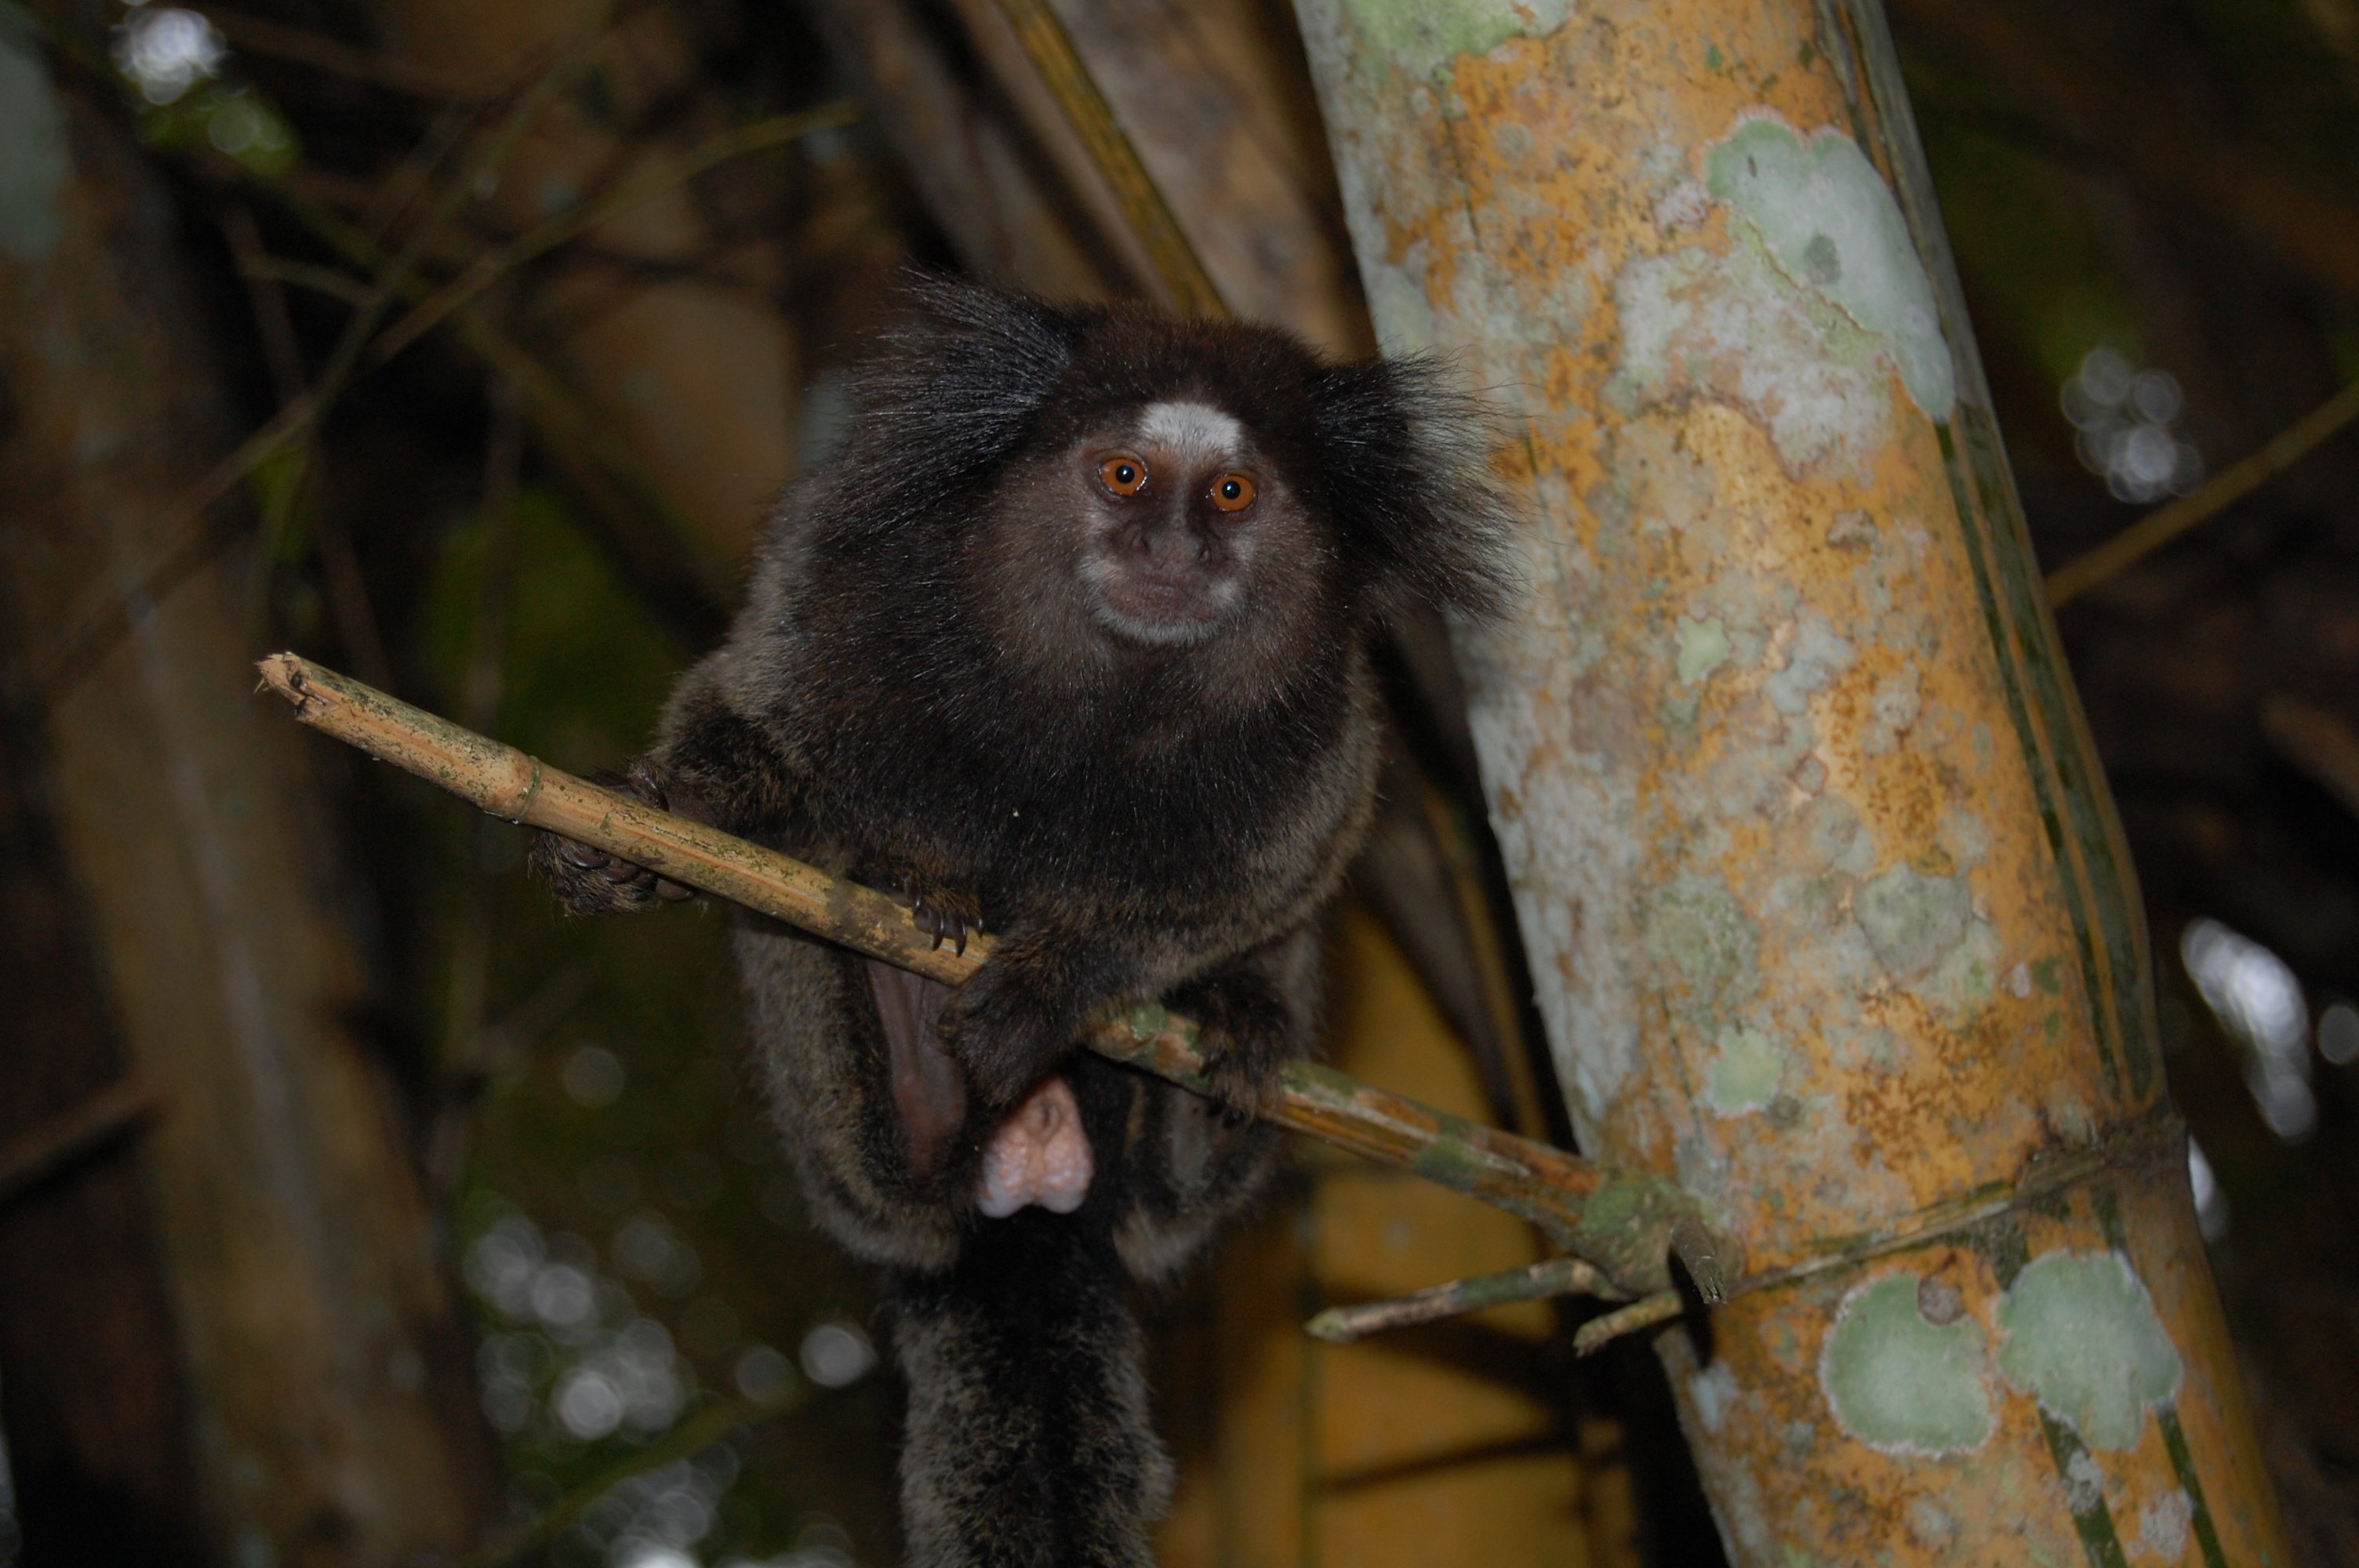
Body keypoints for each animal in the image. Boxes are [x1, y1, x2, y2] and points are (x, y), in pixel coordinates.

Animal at [533, 277, 1514, 1568]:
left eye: (1232, 492)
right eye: (1125, 476)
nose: (1170, 550)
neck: (1100, 695)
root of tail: (1030, 1189)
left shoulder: (1323, 727)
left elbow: (1264, 887)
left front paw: (1066, 981)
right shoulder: (845, 580)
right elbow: (752, 730)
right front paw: (646, 819)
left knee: (1190, 1150)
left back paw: (1208, 1076)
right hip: (836, 1153)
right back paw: (913, 1055)